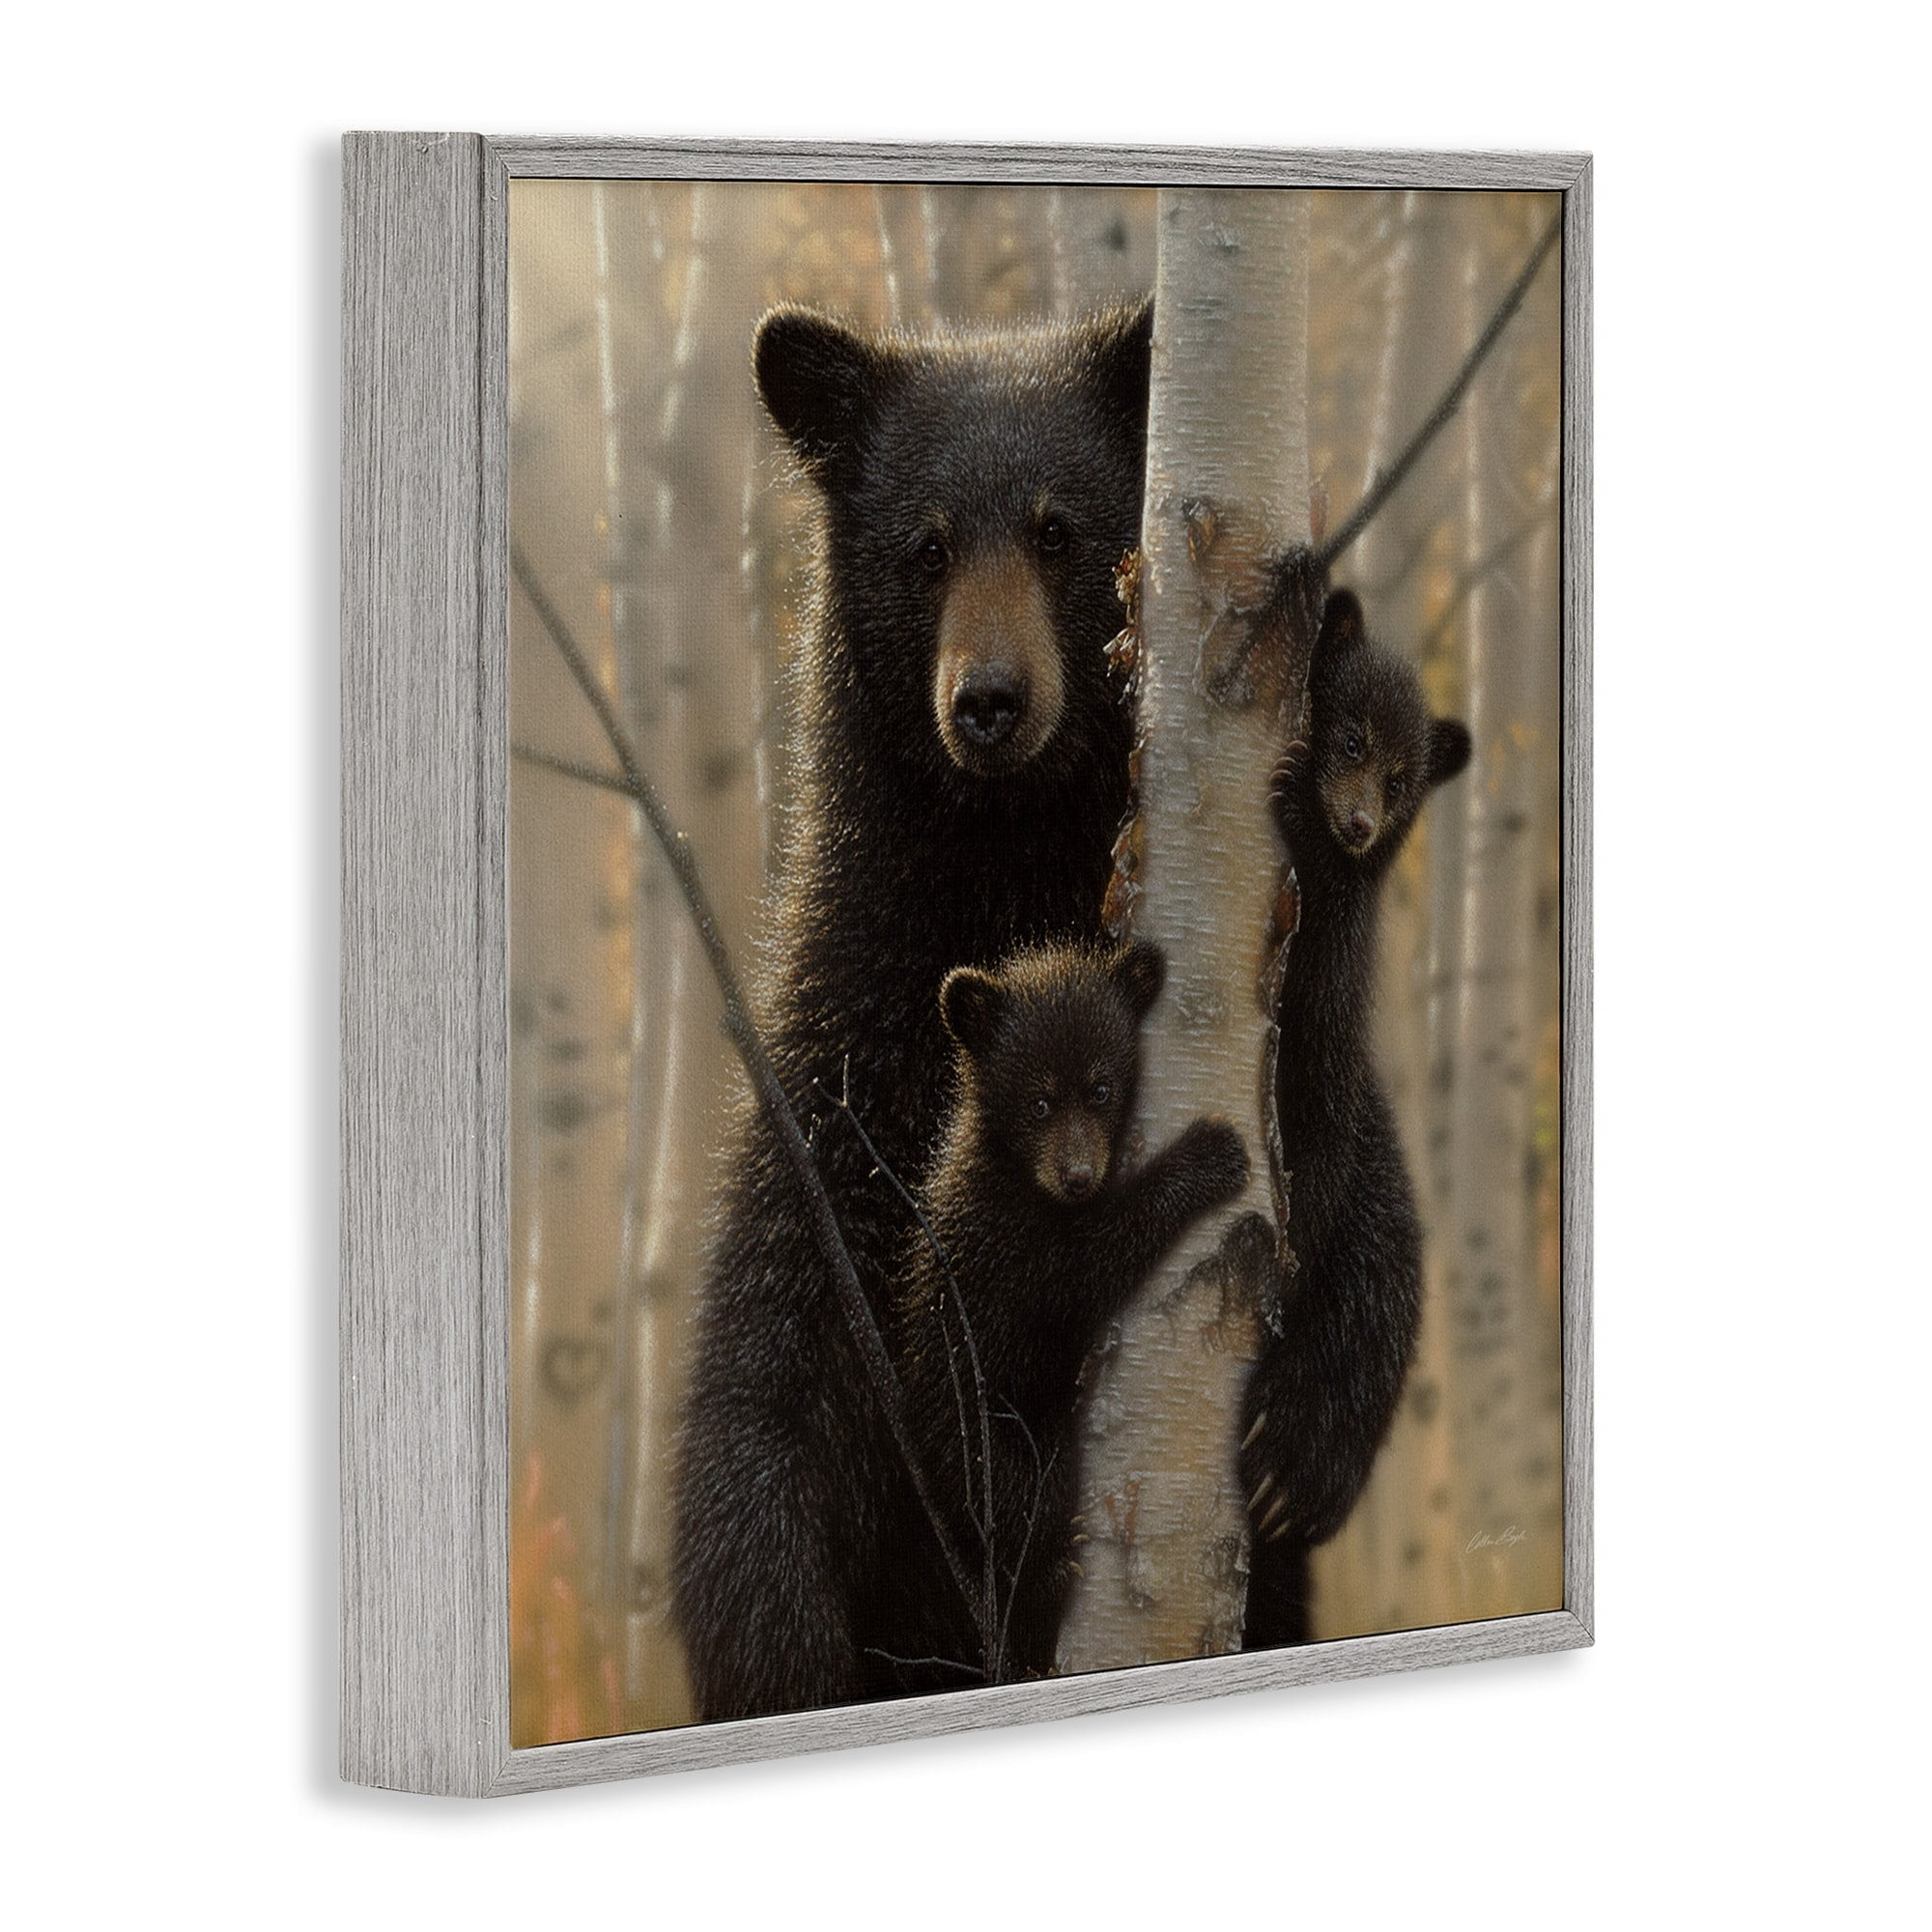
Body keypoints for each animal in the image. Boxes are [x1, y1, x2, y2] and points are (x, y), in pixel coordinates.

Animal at [671, 301, 1155, 1721]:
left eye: (1058, 528)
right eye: (923, 547)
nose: (988, 701)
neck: (998, 876)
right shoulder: (838, 1103)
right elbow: (767, 1406)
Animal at [875, 940, 1252, 1694]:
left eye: (1101, 1089)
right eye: (1039, 1100)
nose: (1077, 1175)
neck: (1022, 1178)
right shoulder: (1007, 1244)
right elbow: (1085, 1267)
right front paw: (1208, 1156)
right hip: (981, 1437)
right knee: (1022, 1498)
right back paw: (1049, 1576)